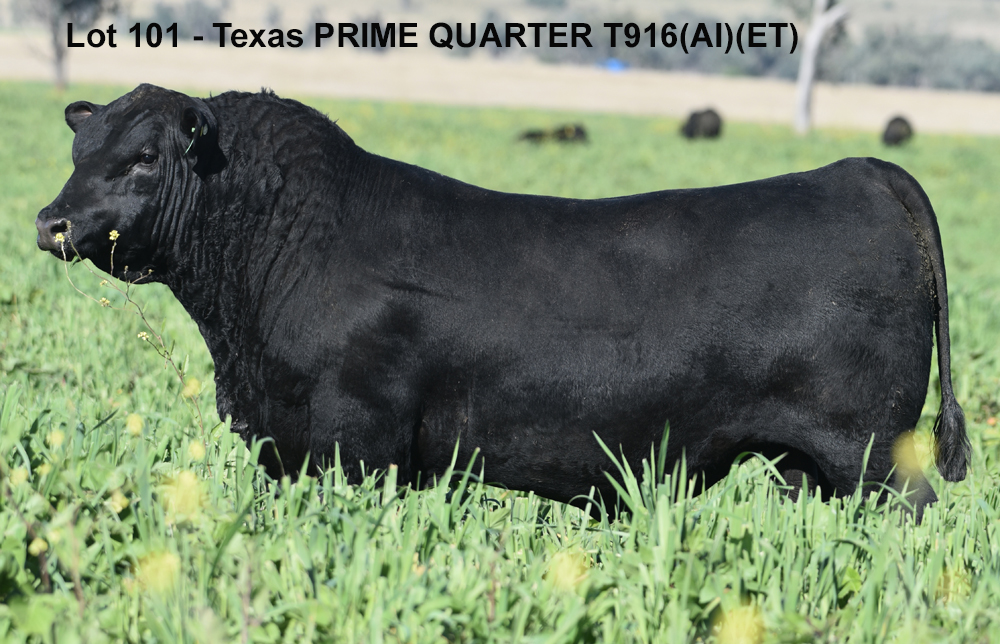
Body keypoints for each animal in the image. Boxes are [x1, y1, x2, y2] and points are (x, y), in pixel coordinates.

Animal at [36, 84, 968, 516]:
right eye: (79, 148)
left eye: (145, 157)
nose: (52, 221)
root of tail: (859, 170)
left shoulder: (354, 436)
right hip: (807, 461)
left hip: (874, 452)